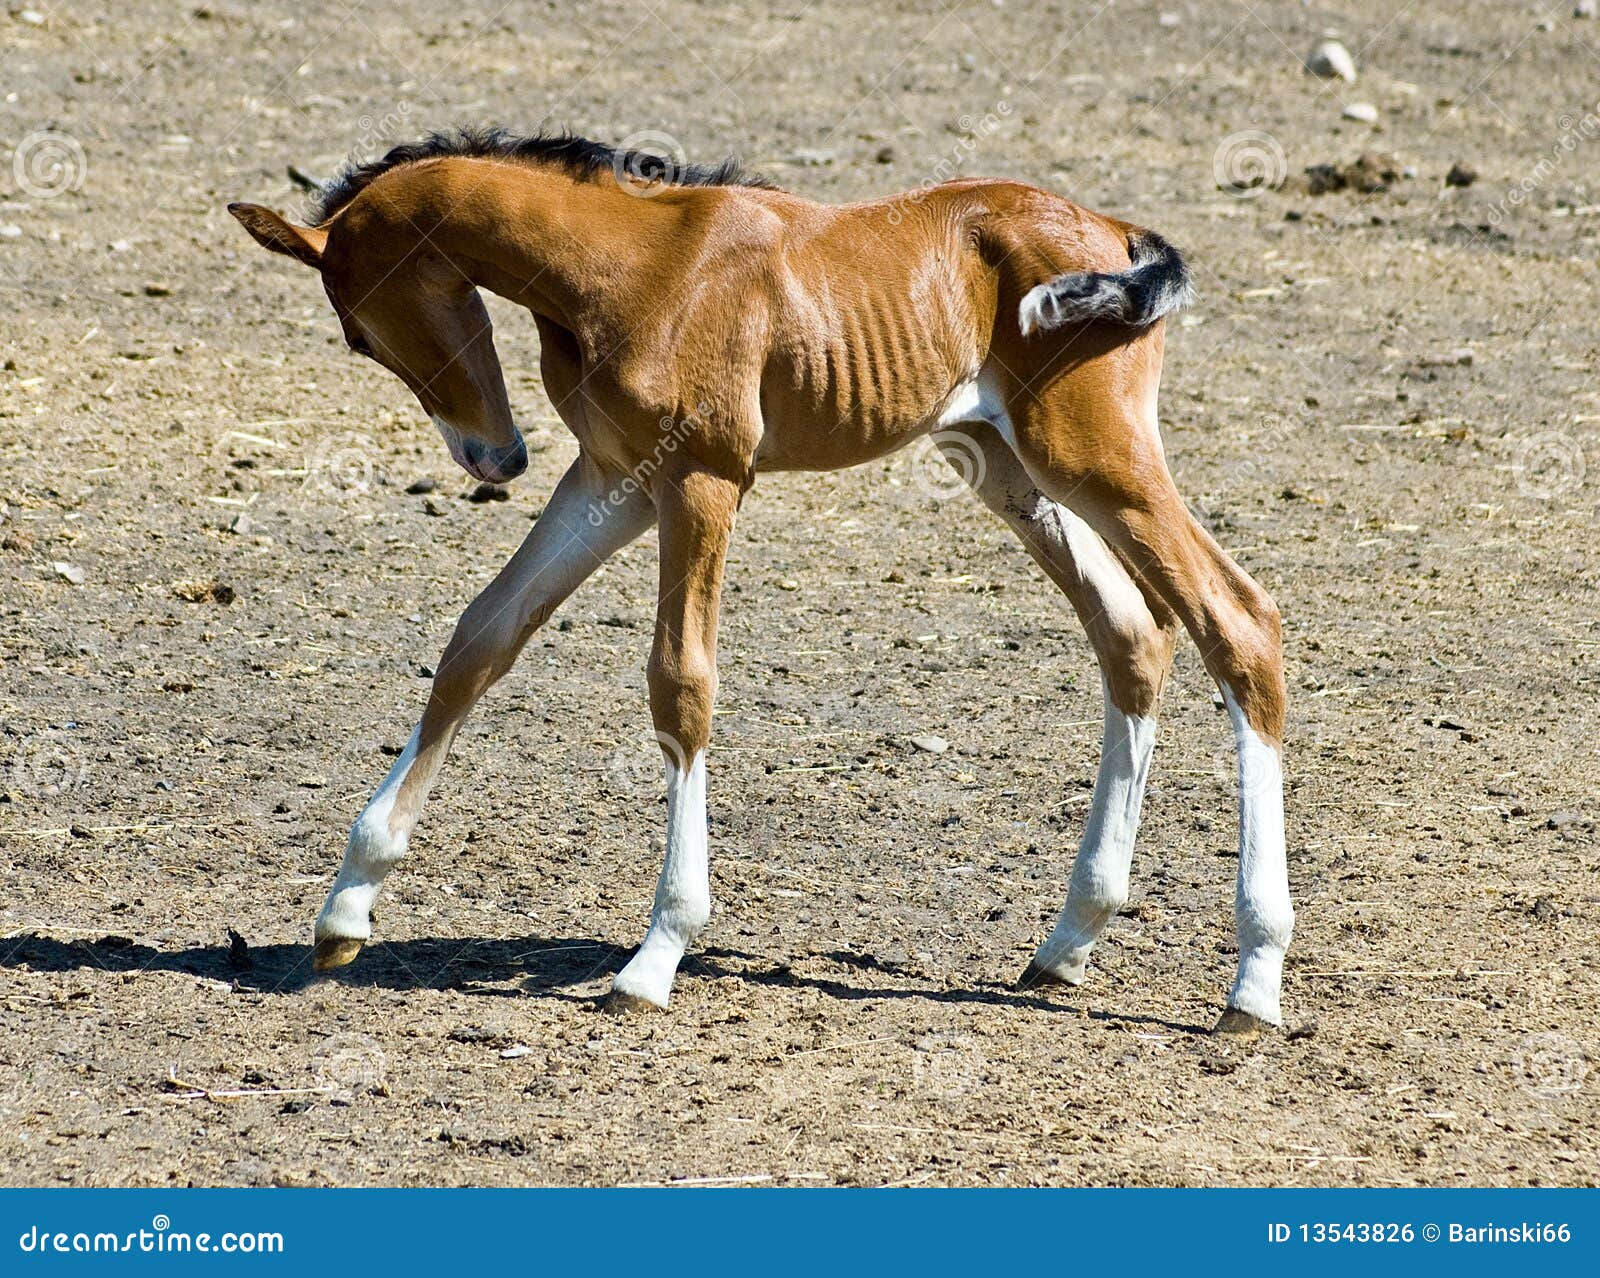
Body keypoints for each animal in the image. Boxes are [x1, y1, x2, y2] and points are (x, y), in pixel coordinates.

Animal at [230, 127, 1292, 1035]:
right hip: (1007, 465)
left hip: (1095, 456)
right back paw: (1068, 941)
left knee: (1237, 621)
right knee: (1132, 632)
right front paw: (346, 908)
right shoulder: (613, 479)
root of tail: (1114, 230)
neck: (631, 265)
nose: (494, 459)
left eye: (359, 331)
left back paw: (1254, 980)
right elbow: (481, 638)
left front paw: (657, 954)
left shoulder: (703, 478)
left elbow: (680, 683)